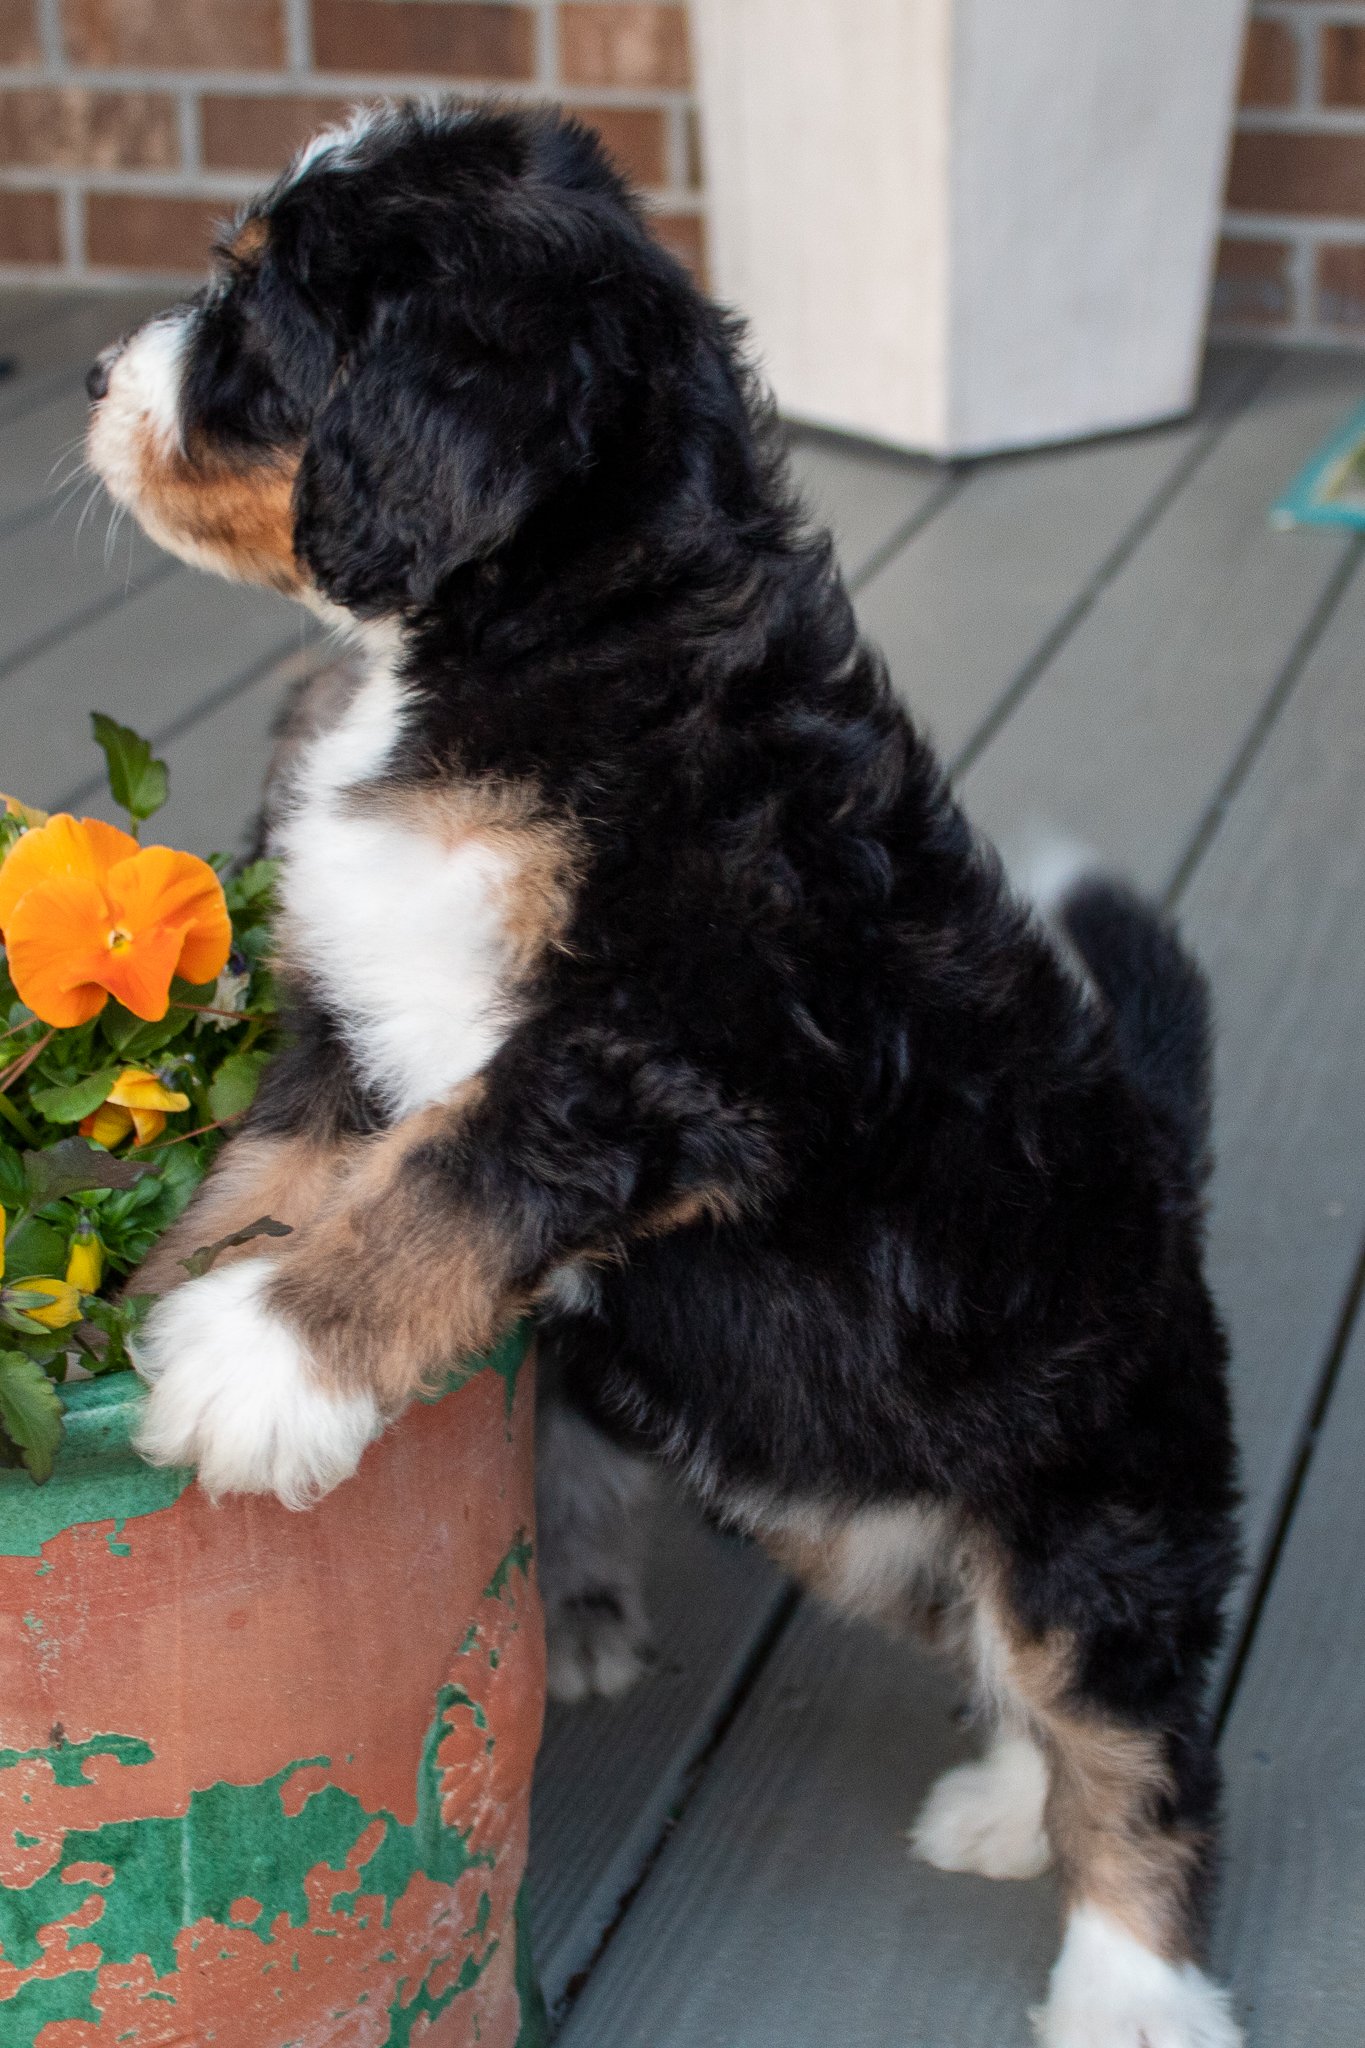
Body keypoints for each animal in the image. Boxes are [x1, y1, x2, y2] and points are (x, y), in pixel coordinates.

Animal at [87, 99, 1252, 2048]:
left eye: (256, 315)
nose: (96, 374)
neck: (546, 636)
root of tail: (1164, 1178)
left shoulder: (676, 1047)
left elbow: (448, 1184)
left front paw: (255, 1371)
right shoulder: (350, 1041)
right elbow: (260, 1187)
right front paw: (138, 1330)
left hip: (1103, 1492)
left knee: (1132, 1730)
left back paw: (1131, 1982)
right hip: (866, 1504)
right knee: (1018, 1664)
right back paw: (1010, 1803)